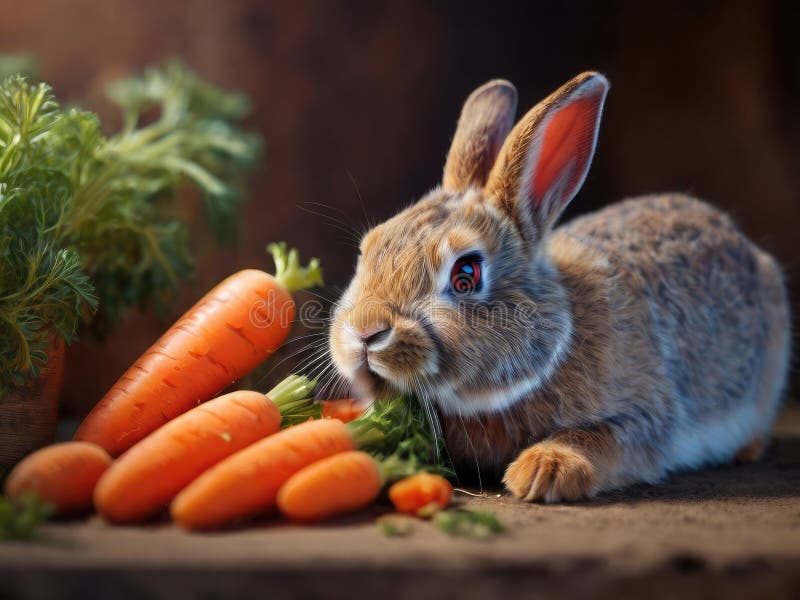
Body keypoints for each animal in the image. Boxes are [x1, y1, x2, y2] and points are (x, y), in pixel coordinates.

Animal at [328, 71, 791, 502]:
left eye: (467, 274)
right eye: (369, 249)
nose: (364, 332)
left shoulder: (647, 415)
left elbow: (607, 435)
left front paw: (542, 472)